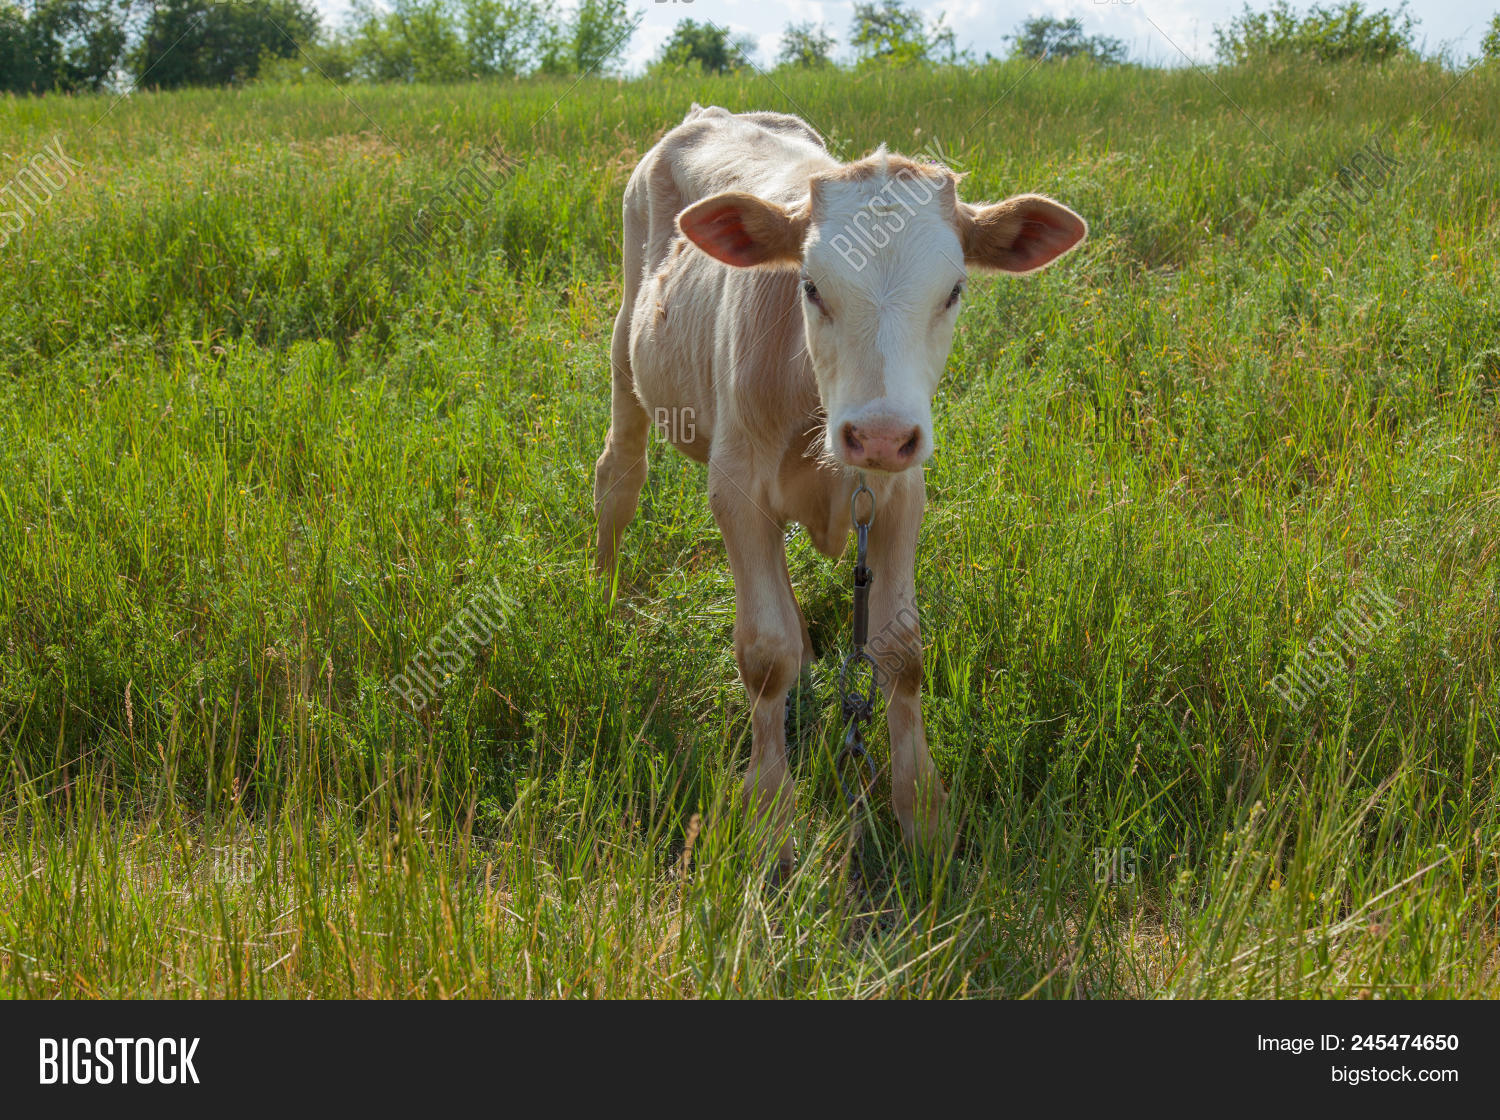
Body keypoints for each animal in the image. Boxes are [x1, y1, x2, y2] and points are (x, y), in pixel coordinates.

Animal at [594, 105, 1086, 874]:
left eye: (954, 291)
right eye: (811, 287)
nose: (877, 435)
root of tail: (715, 113)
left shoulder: (901, 493)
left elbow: (902, 651)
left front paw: (924, 817)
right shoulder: (735, 487)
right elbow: (765, 653)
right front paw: (770, 820)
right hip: (626, 348)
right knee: (618, 473)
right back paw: (606, 598)